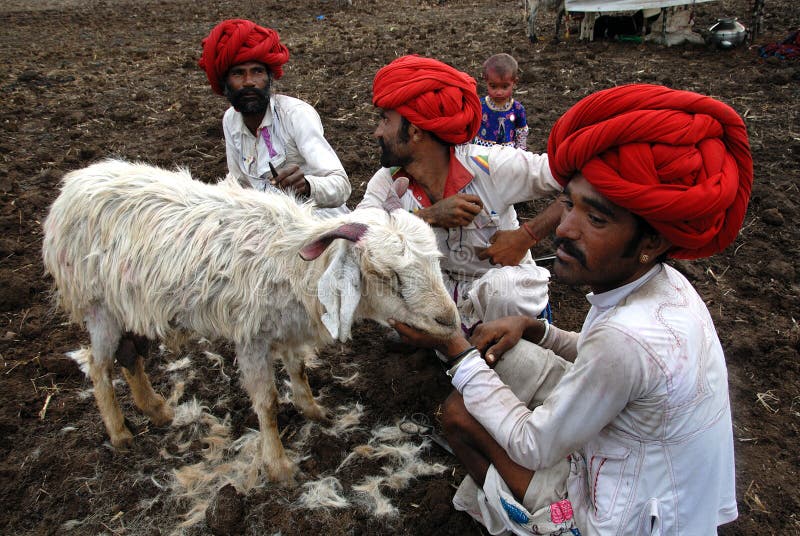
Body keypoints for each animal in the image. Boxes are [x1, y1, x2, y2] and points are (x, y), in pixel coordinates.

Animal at [42, 159, 460, 484]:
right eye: (387, 275)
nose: (449, 319)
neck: (297, 266)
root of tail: (72, 186)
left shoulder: (289, 327)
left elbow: (298, 369)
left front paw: (313, 410)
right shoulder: (251, 336)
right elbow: (268, 403)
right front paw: (278, 465)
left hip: (128, 304)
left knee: (130, 354)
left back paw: (156, 409)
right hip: (99, 305)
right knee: (98, 366)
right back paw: (120, 432)